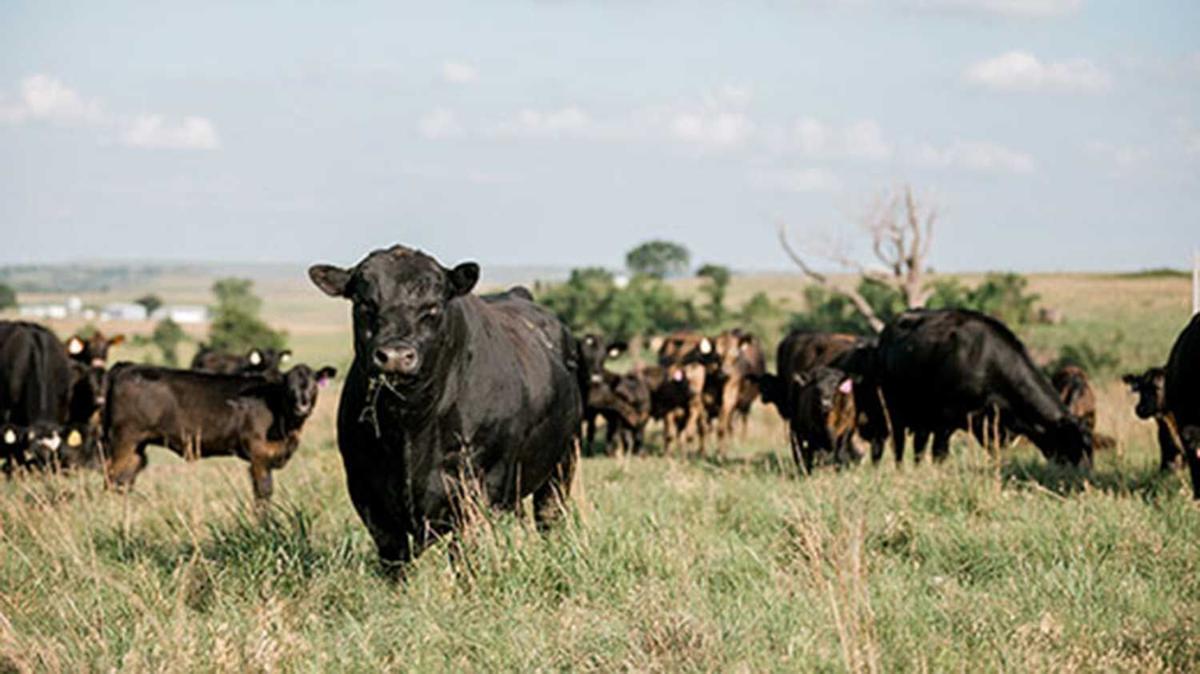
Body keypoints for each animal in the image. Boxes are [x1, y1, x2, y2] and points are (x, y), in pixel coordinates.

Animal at [103, 363, 335, 499]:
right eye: (288, 386)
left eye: (313, 384)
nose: (302, 405)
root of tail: (127, 366)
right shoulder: (259, 455)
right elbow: (263, 493)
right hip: (124, 440)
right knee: (111, 478)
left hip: (136, 447)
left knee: (124, 480)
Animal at [308, 245, 582, 568]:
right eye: (364, 303)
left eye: (433, 307)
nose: (396, 356)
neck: (409, 423)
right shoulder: (366, 489)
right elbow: (394, 556)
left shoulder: (480, 486)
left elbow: (466, 552)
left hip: (562, 464)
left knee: (549, 516)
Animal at [874, 309, 1092, 466]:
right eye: (1074, 444)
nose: (1084, 476)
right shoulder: (946, 421)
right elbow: (939, 454)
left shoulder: (989, 428)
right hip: (894, 411)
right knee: (897, 446)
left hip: (922, 418)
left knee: (917, 446)